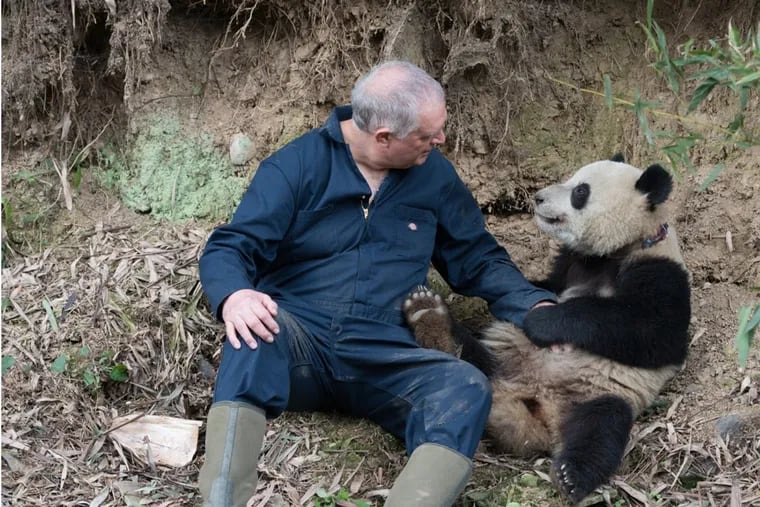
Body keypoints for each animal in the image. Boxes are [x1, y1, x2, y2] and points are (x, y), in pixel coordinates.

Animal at [403, 155, 691, 503]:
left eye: (580, 192)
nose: (538, 198)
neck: (616, 250)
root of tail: (531, 405)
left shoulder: (661, 271)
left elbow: (655, 333)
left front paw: (542, 322)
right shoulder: (568, 264)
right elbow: (538, 286)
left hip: (598, 395)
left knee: (600, 428)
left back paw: (572, 475)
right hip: (501, 361)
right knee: (473, 360)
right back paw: (430, 318)